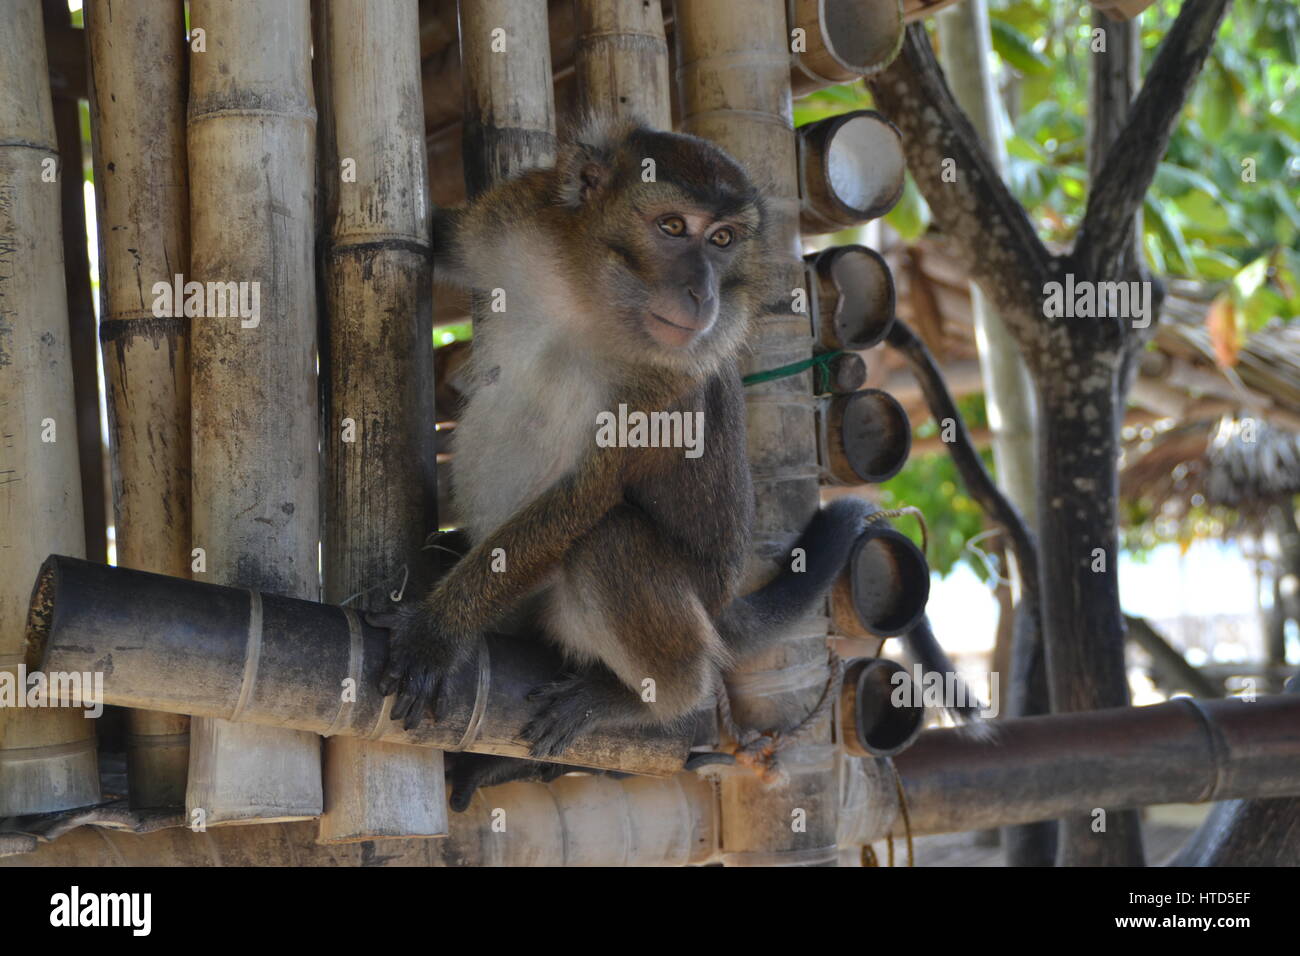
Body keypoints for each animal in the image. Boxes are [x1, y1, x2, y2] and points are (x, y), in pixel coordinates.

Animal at [374, 115, 877, 807]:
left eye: (722, 239)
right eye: (673, 226)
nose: (702, 291)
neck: (592, 297)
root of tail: (722, 610)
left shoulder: (670, 382)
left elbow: (585, 497)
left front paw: (438, 631)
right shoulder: (520, 221)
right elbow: (449, 234)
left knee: (609, 542)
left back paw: (647, 701)